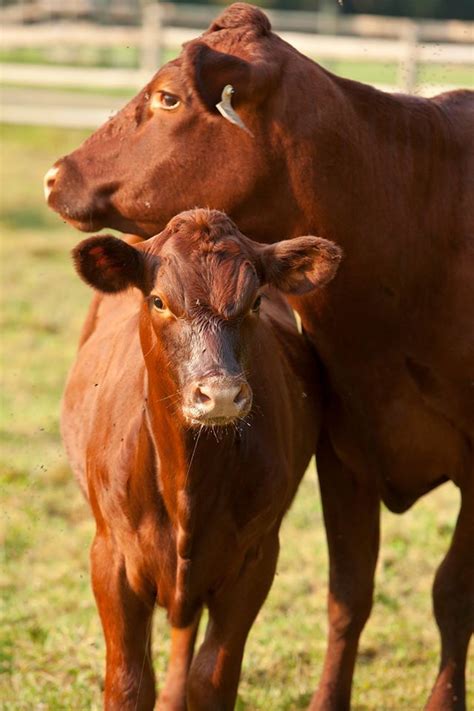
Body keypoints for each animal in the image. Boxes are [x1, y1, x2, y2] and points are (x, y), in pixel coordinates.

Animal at [62, 208, 342, 710]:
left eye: (254, 301)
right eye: (158, 300)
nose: (221, 394)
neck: (187, 483)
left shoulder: (254, 559)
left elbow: (211, 677)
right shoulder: (110, 558)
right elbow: (129, 681)